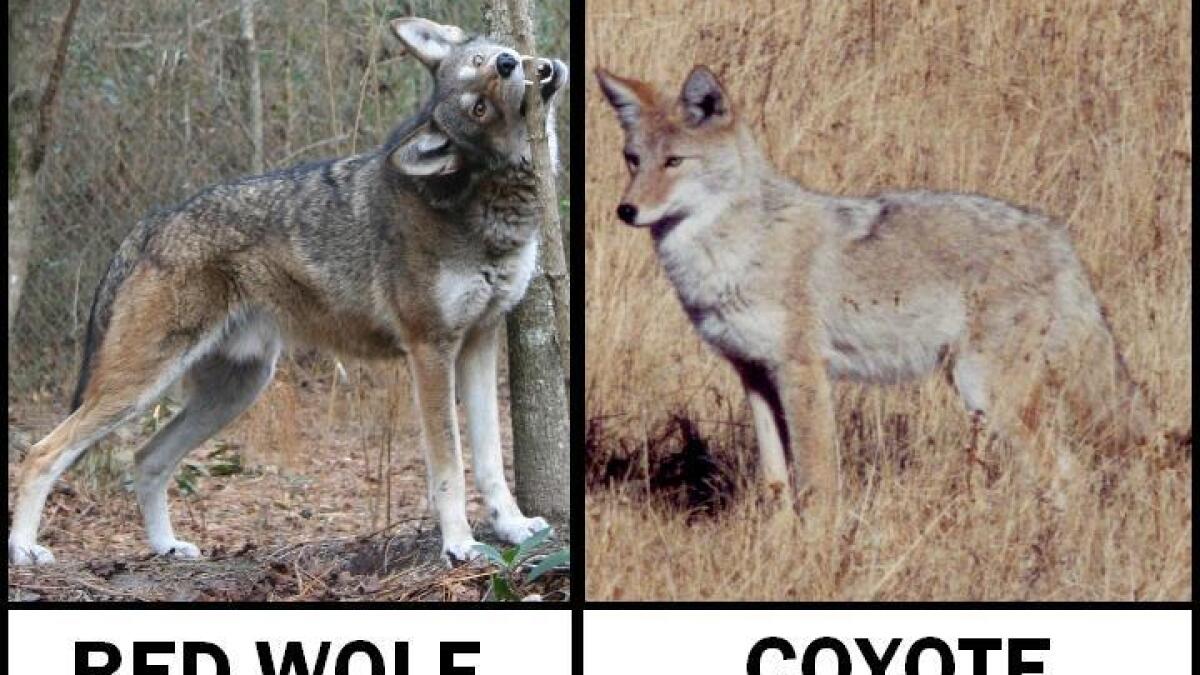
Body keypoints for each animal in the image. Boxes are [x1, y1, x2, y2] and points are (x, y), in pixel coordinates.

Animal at [8, 17, 568, 566]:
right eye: (478, 100)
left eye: (487, 67)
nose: (508, 62)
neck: (486, 204)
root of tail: (151, 223)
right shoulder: (430, 351)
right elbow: (449, 466)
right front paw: (458, 543)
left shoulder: (480, 342)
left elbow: (491, 461)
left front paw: (514, 527)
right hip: (140, 386)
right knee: (41, 453)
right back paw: (25, 549)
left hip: (235, 389)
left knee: (146, 458)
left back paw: (167, 547)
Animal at [595, 65, 1154, 510]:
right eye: (632, 159)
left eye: (674, 162)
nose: (626, 210)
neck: (735, 252)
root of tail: (1057, 235)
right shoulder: (754, 376)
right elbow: (777, 483)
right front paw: (779, 547)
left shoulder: (804, 373)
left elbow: (818, 484)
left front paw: (816, 555)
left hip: (988, 392)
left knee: (1068, 475)